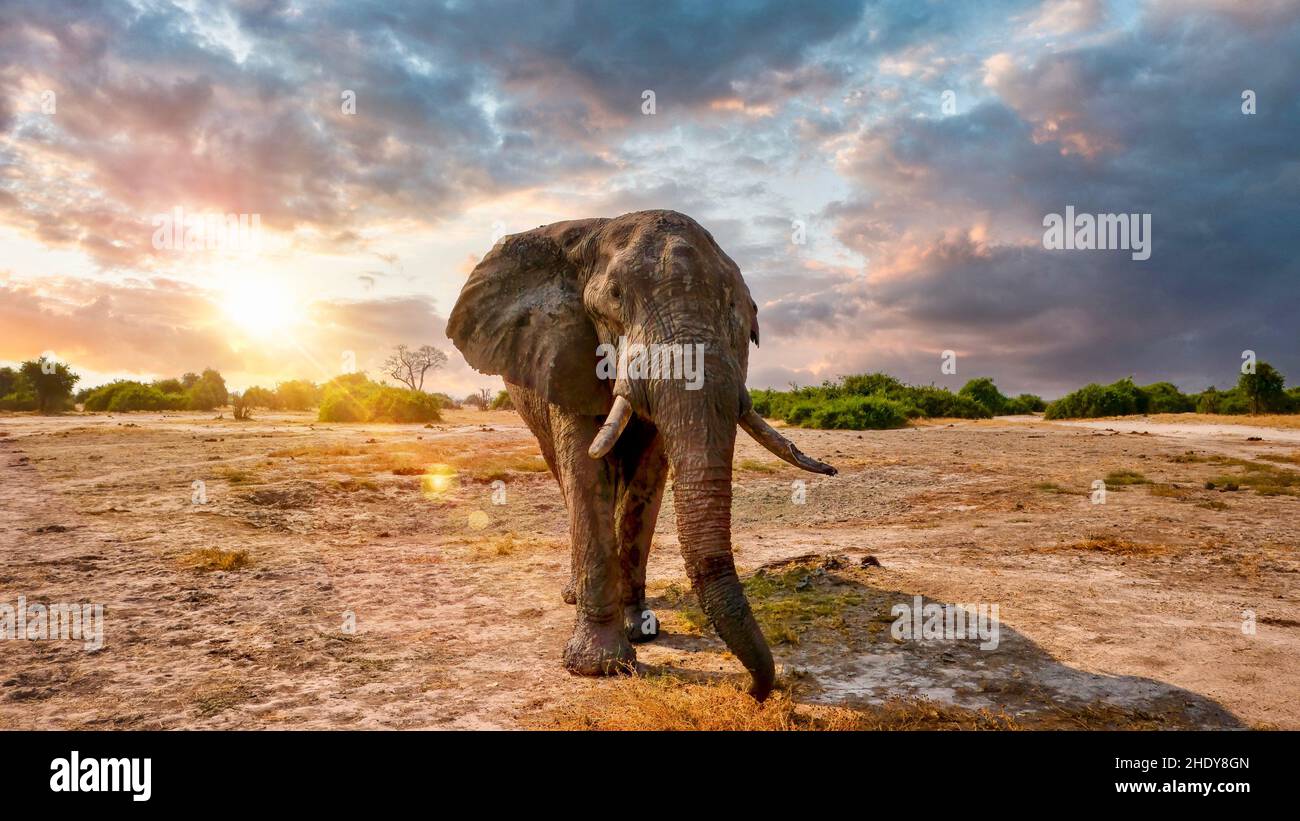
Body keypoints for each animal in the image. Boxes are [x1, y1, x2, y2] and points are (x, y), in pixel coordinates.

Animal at [447, 210, 836, 700]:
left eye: (739, 310)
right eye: (614, 299)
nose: (755, 691)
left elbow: (646, 479)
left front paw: (640, 631)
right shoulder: (563, 350)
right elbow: (585, 470)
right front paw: (599, 667)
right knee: (564, 473)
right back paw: (571, 594)